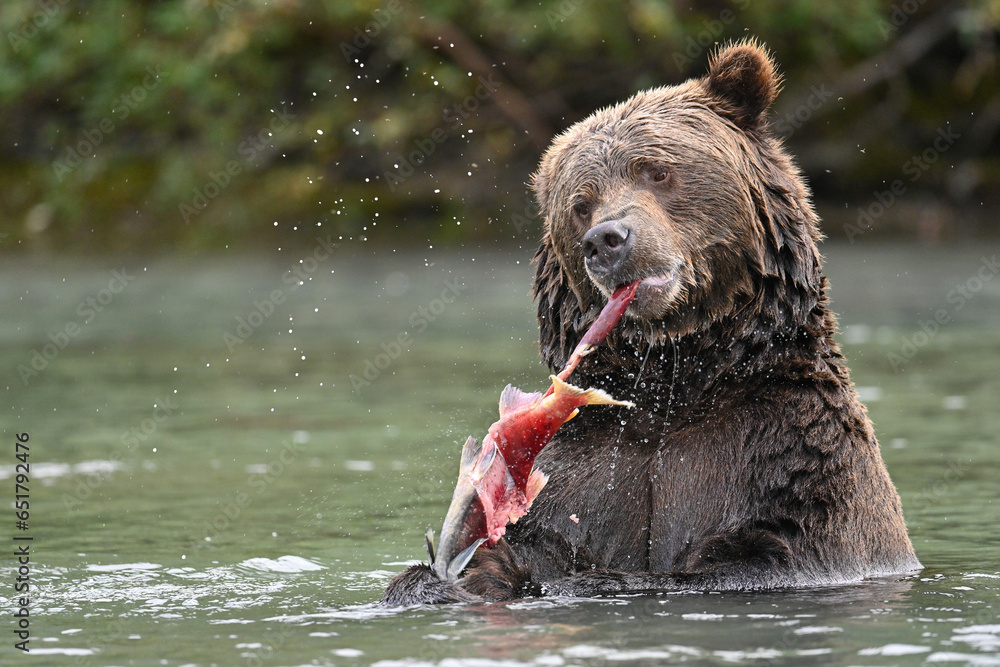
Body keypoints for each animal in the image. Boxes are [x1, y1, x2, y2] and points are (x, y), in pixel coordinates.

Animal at [382, 39, 921, 605]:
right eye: (580, 204)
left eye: (656, 171)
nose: (606, 240)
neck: (678, 387)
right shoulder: (585, 472)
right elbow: (543, 534)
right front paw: (451, 575)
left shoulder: (788, 460)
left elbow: (768, 553)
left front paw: (599, 579)